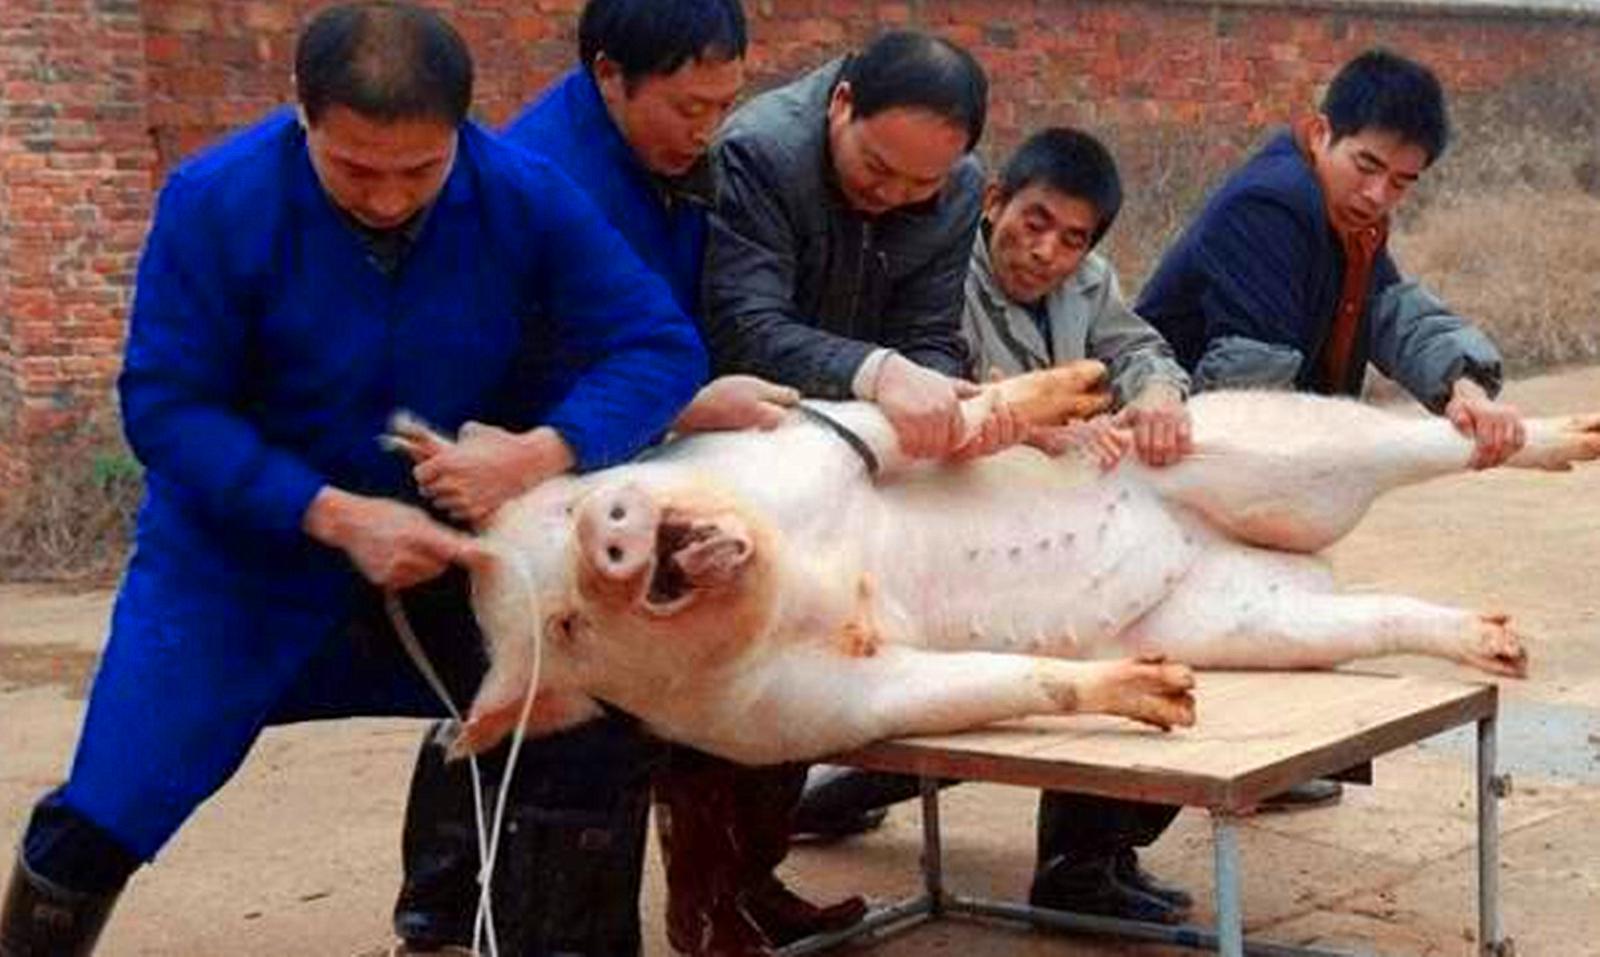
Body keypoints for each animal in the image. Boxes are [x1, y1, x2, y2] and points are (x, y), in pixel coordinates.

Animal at [408, 363, 1599, 765]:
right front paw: (1166, 705)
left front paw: (1070, 393)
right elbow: (969, 688)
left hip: (1256, 445)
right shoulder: (794, 711)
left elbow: (913, 425)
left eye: (568, 510)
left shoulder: (804, 449)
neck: (803, 576)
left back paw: (1568, 439)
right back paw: (1501, 643)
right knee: (1363, 614)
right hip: (1245, 617)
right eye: (564, 624)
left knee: (1431, 442)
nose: (611, 541)